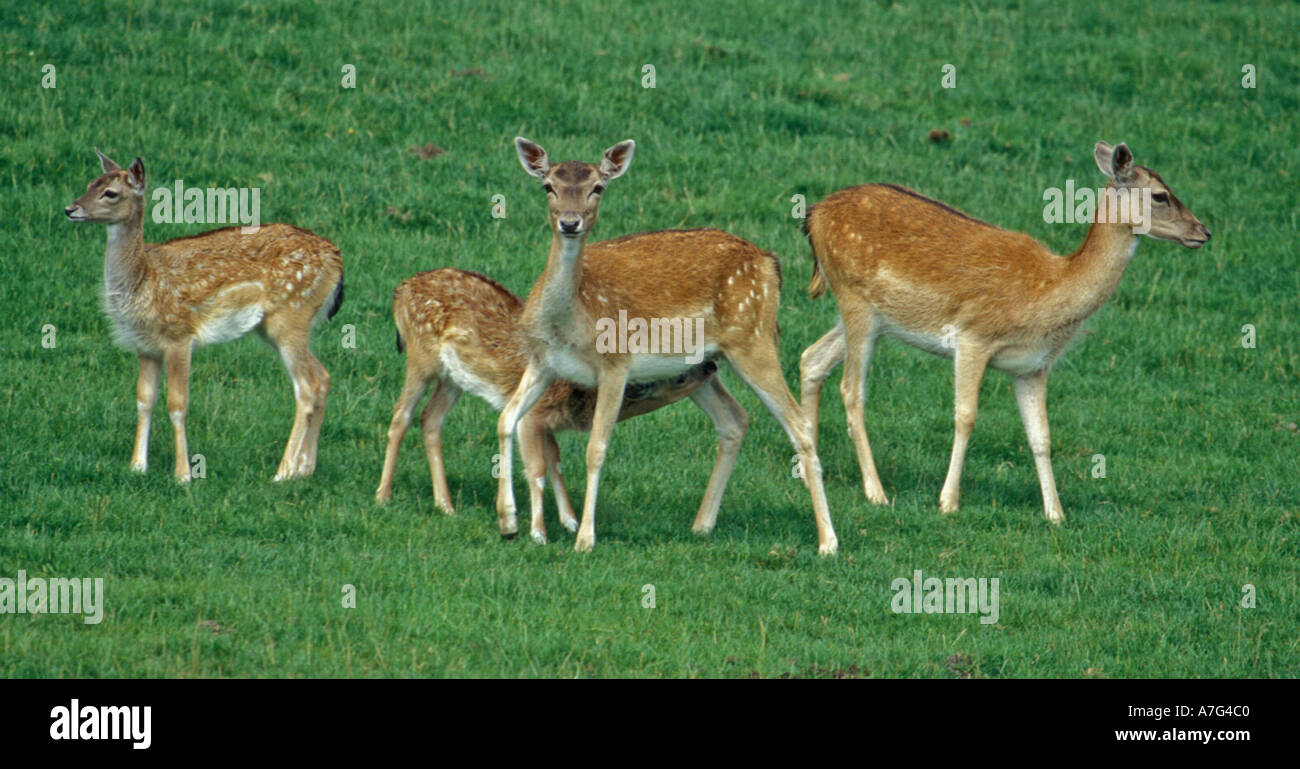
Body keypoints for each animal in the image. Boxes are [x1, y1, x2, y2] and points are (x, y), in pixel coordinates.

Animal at [64, 150, 344, 483]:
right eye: (90, 183)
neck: (142, 279)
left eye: (110, 193)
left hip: (291, 315)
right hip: (281, 326)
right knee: (323, 377)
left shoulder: (179, 336)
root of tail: (336, 259)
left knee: (307, 388)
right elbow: (144, 400)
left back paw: (283, 472)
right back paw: (305, 468)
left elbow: (177, 404)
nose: (70, 209)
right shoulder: (145, 346)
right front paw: (137, 466)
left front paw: (183, 474)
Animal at [375, 266, 736, 544]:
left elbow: (556, 463)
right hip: (420, 355)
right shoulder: (534, 415)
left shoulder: (547, 422)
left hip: (452, 377)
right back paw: (384, 495)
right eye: (679, 375)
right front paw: (538, 532)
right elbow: (537, 469)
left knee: (430, 418)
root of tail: (399, 290)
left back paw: (445, 505)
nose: (710, 365)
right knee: (401, 415)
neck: (579, 399)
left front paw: (570, 521)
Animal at [496, 138, 839, 554]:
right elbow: (505, 419)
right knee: (735, 418)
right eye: (548, 186)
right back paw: (702, 525)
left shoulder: (616, 363)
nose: (570, 222)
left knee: (799, 424)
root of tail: (770, 263)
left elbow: (596, 448)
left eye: (598, 187)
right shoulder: (541, 361)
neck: (570, 320)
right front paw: (508, 522)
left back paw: (828, 542)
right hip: (700, 364)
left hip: (753, 337)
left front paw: (585, 538)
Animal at [798, 141, 1210, 523]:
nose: (1204, 231)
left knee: (811, 358)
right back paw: (876, 492)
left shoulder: (1032, 367)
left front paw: (1056, 514)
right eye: (1160, 195)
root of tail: (813, 216)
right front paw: (948, 502)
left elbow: (1041, 437)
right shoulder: (973, 336)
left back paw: (806, 468)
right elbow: (965, 416)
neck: (1048, 291)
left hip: (874, 318)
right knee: (851, 390)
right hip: (855, 300)